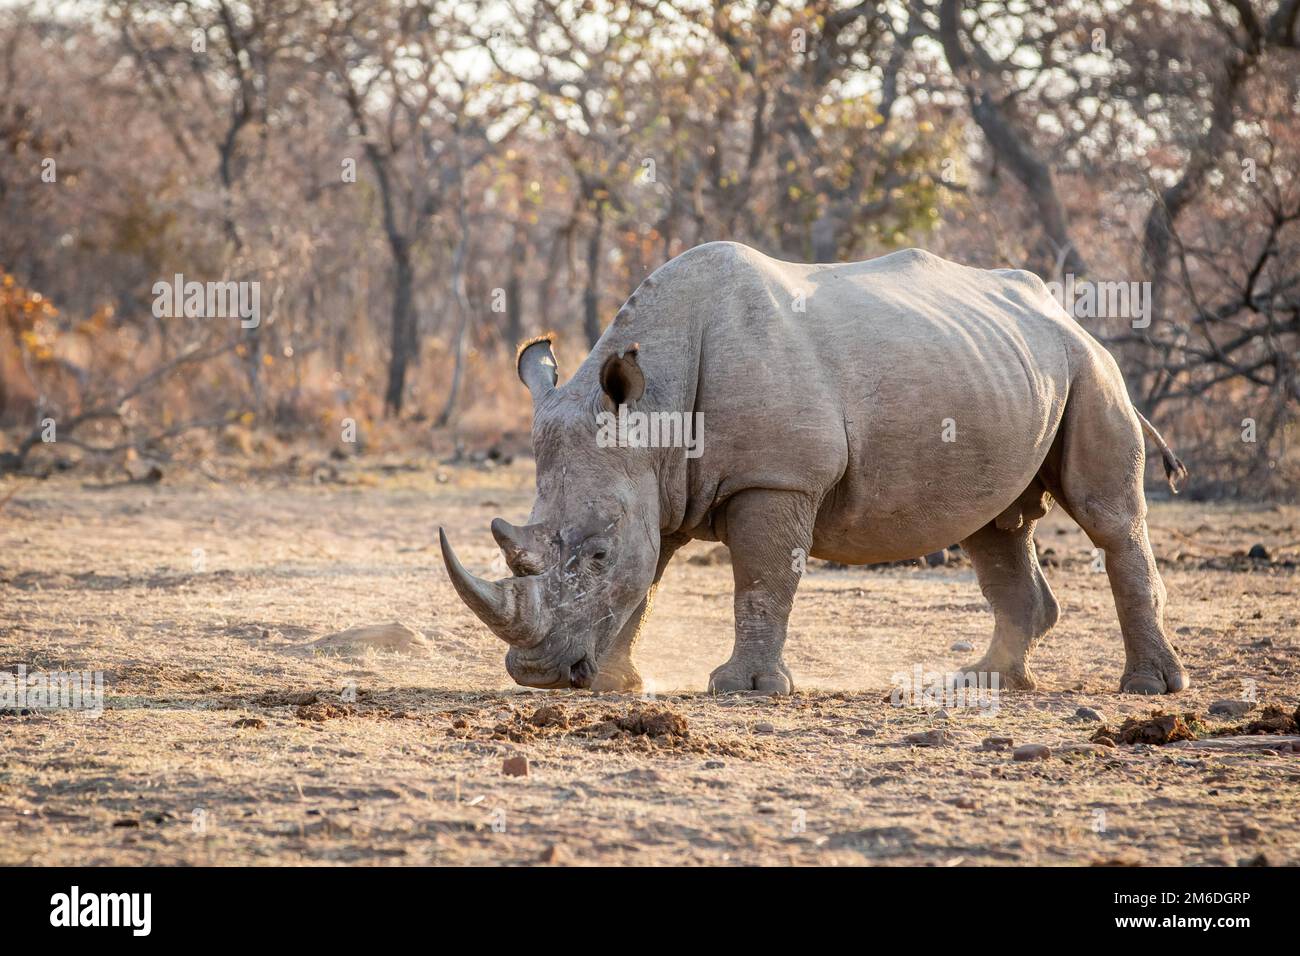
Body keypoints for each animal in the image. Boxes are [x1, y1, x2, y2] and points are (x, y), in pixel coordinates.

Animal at [440, 241, 1190, 696]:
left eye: (595, 553)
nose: (536, 674)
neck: (654, 405)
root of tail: (1061, 312)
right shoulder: (656, 483)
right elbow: (646, 580)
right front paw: (617, 683)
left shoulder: (776, 478)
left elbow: (762, 579)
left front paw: (742, 690)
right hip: (1000, 365)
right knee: (992, 525)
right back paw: (983, 682)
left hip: (1090, 366)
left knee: (1108, 518)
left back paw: (1147, 688)